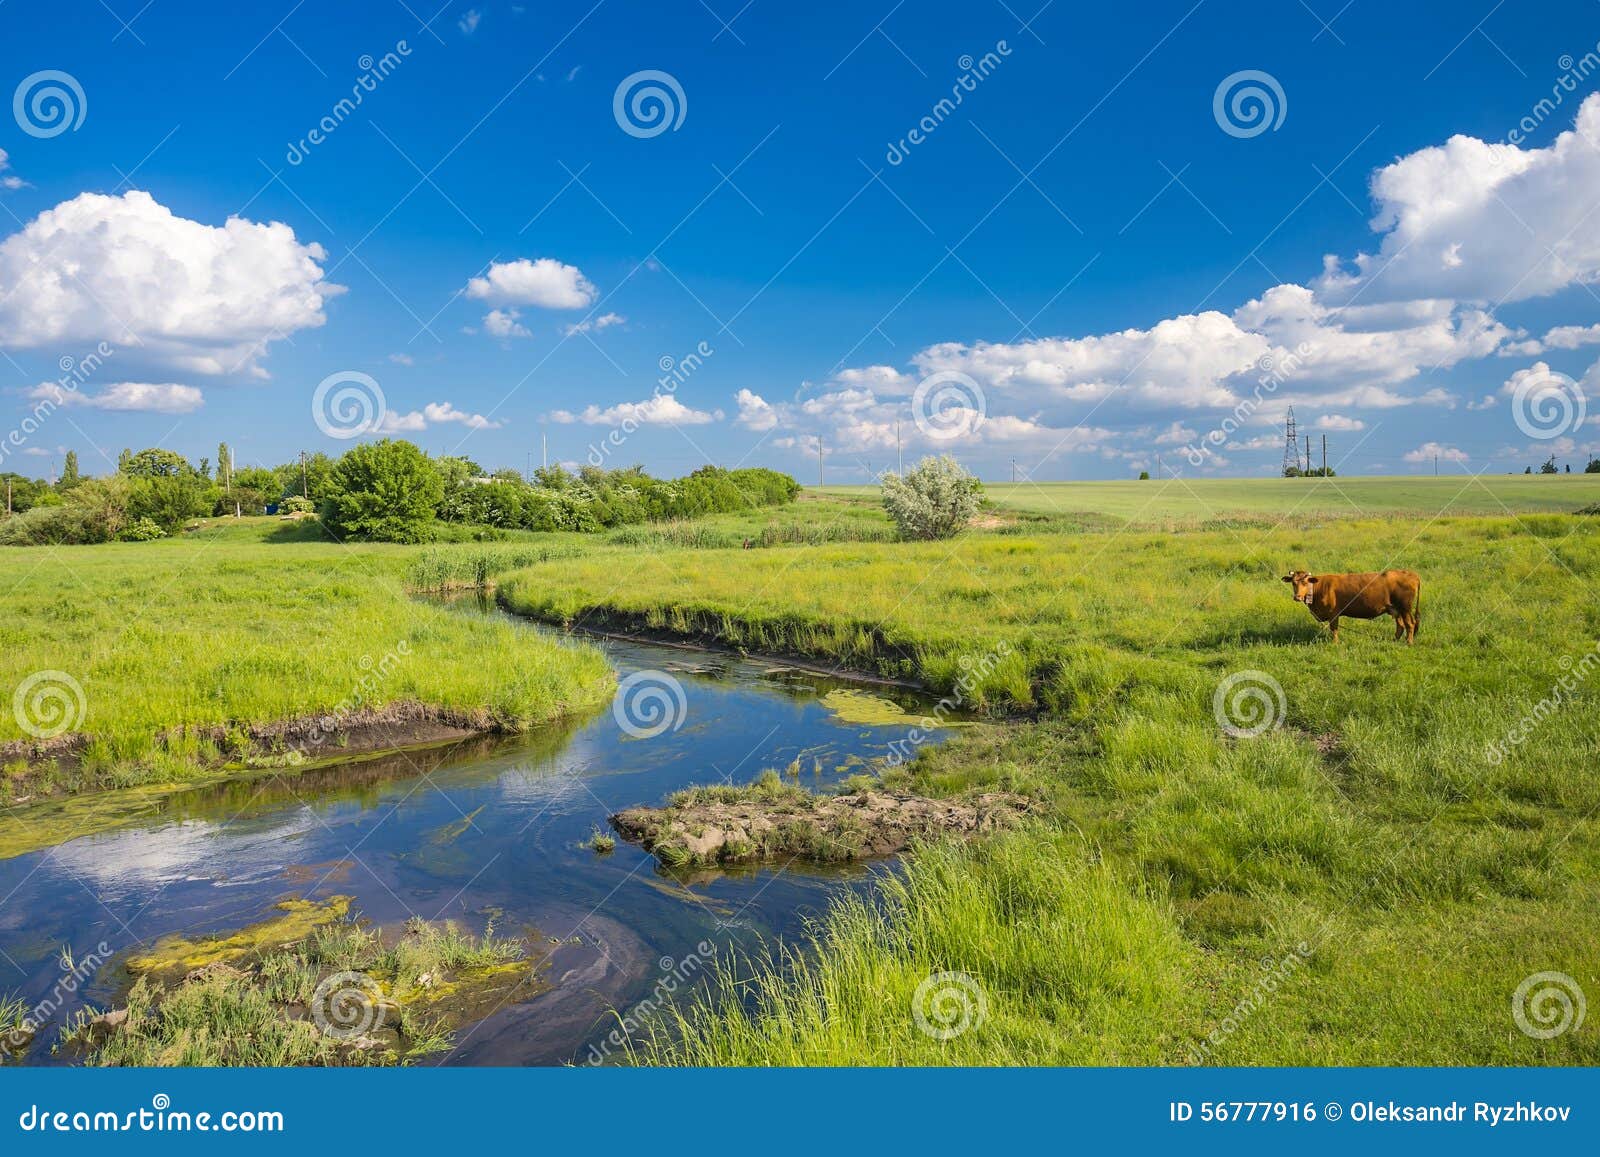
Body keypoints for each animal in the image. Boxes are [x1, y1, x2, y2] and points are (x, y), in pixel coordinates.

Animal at [1281, 569, 1421, 644]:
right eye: (1293, 583)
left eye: (1305, 582)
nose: (1297, 597)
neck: (1319, 587)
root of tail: (1411, 574)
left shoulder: (1334, 614)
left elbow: (1334, 629)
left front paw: (1335, 643)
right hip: (1395, 609)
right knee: (1400, 625)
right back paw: (1395, 640)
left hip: (1405, 608)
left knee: (1410, 624)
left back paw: (1409, 642)